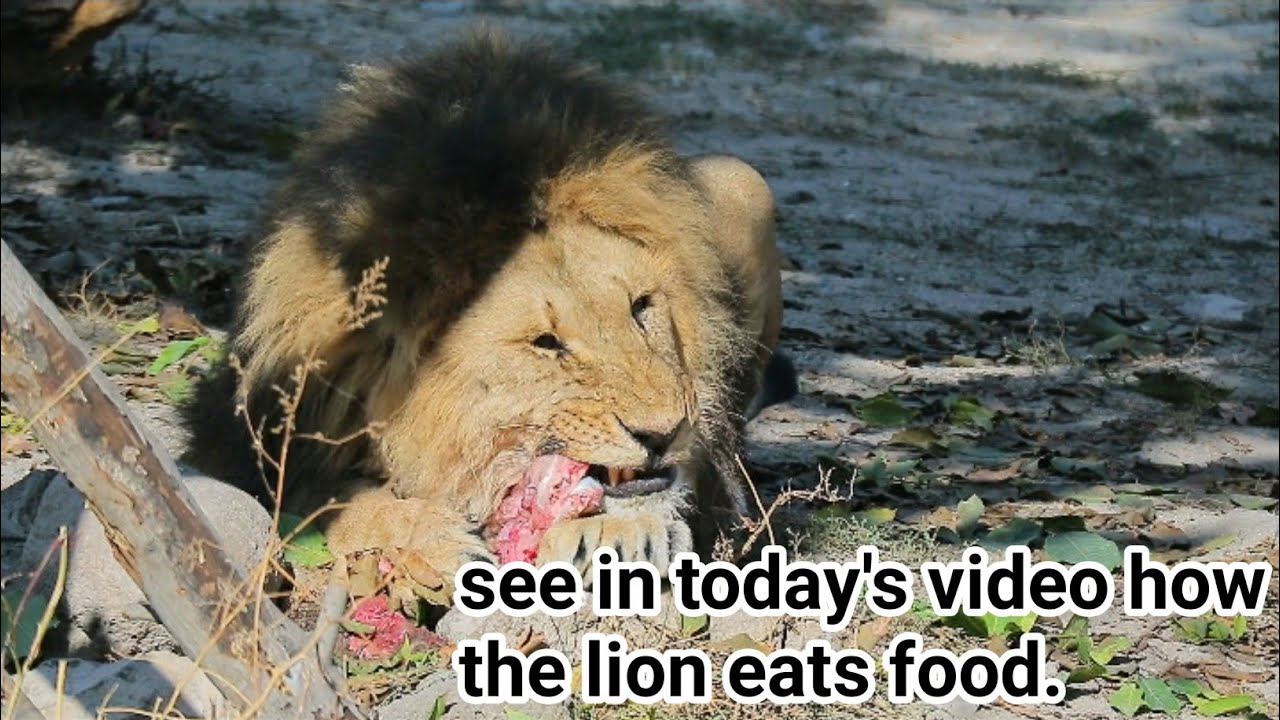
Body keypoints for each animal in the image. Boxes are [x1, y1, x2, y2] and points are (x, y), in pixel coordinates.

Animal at [182, 30, 791, 580]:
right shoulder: (249, 437)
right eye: (546, 344)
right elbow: (330, 501)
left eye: (641, 308)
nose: (664, 433)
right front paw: (428, 537)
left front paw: (624, 529)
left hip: (741, 177)